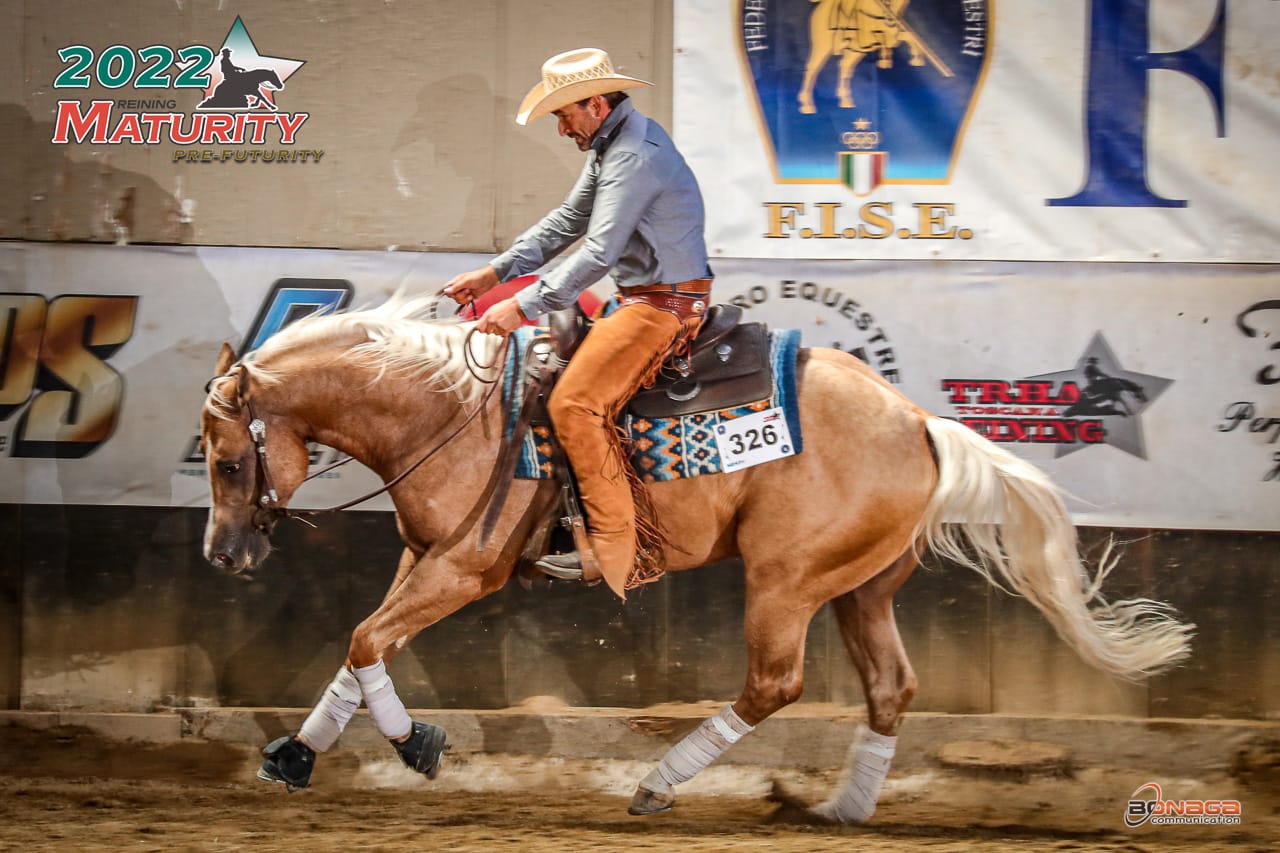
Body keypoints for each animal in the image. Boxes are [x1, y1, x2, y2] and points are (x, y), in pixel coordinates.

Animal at [199, 294, 1192, 821]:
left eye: (226, 458)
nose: (222, 555)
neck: (453, 411)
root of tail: (919, 421)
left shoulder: (465, 568)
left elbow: (369, 640)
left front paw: (417, 744)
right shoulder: (423, 555)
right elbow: (362, 643)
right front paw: (295, 755)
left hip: (786, 581)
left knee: (774, 684)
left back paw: (657, 782)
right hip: (861, 587)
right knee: (890, 685)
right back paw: (844, 807)